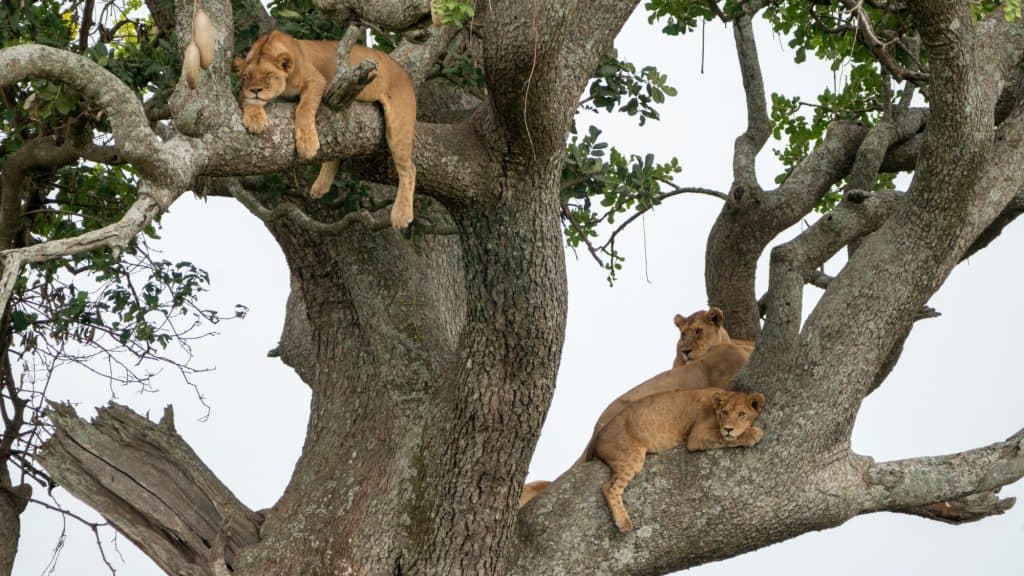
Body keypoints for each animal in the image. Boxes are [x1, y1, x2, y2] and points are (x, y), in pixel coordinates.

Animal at [234, 30, 417, 229]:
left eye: (268, 74)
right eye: (246, 77)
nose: (255, 90)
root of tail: (404, 72)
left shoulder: (316, 80)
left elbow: (304, 108)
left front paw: (307, 143)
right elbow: (247, 102)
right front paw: (255, 119)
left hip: (399, 126)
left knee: (409, 169)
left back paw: (401, 215)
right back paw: (320, 186)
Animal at [593, 388, 765, 533]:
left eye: (741, 414)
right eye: (725, 412)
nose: (728, 428)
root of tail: (598, 439)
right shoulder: (697, 435)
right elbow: (723, 437)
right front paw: (752, 434)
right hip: (632, 455)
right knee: (609, 488)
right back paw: (623, 522)